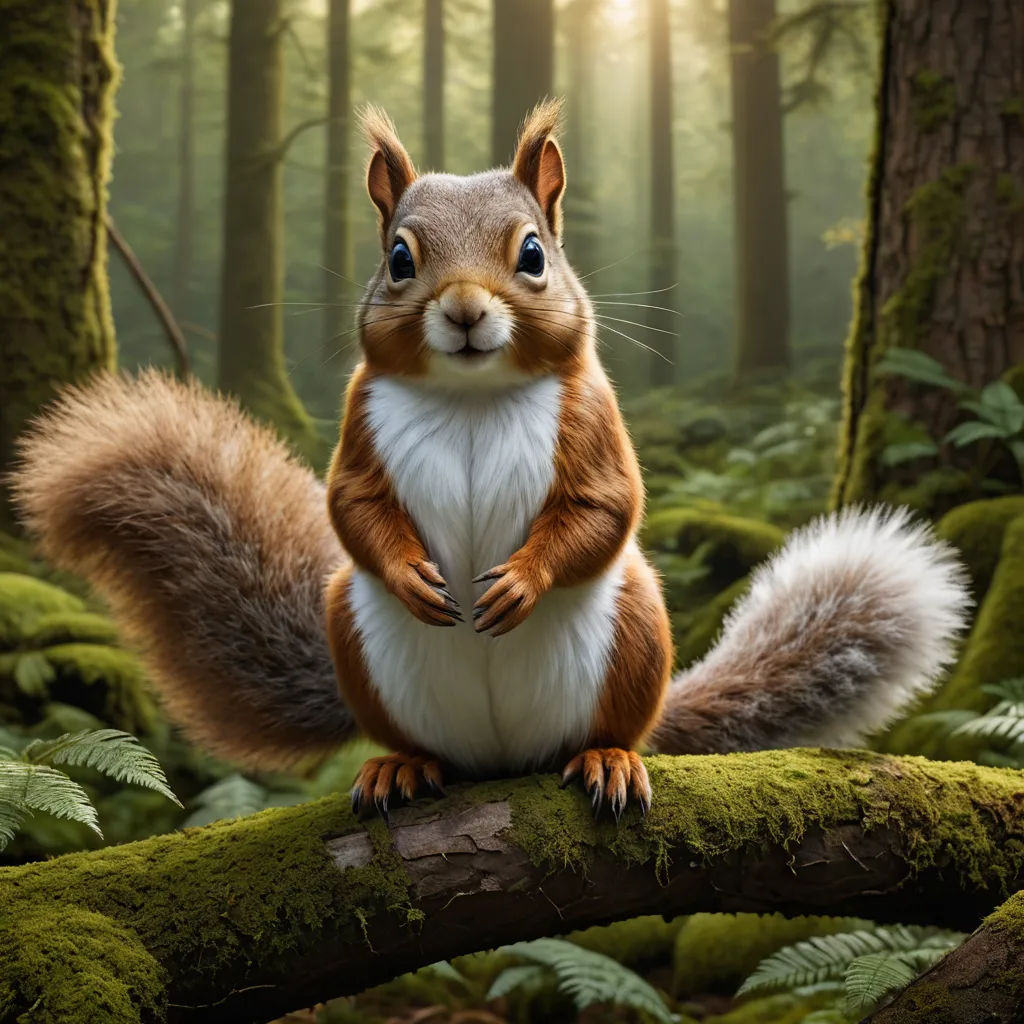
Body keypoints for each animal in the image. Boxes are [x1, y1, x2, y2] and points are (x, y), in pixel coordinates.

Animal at [12, 100, 970, 819]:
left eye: (534, 254)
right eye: (400, 258)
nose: (467, 310)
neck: (472, 400)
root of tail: (504, 757)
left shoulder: (595, 419)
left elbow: (606, 507)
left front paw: (521, 582)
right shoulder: (359, 427)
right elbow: (351, 508)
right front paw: (412, 574)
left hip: (635, 629)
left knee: (614, 720)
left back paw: (607, 756)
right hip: (353, 633)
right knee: (417, 735)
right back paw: (401, 766)